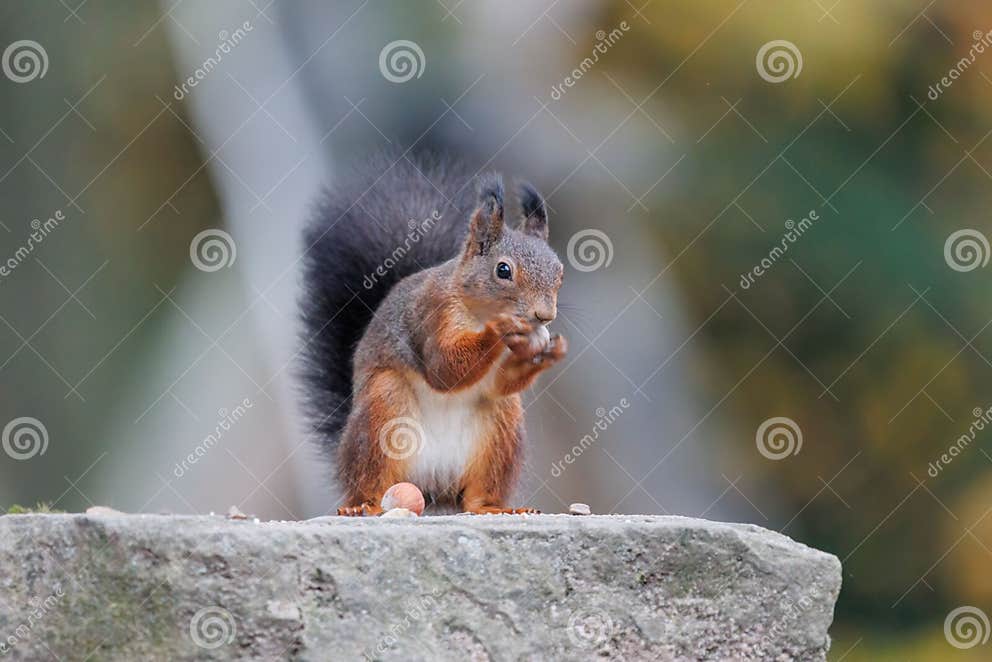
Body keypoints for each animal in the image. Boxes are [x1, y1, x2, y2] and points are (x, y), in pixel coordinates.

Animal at [300, 152, 567, 516]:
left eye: (560, 272)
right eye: (503, 270)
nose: (545, 316)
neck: (475, 310)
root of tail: (433, 489)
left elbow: (501, 383)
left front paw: (551, 351)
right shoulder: (431, 315)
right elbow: (444, 368)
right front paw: (500, 328)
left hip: (501, 428)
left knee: (475, 495)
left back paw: (493, 508)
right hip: (383, 406)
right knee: (371, 478)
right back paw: (365, 504)